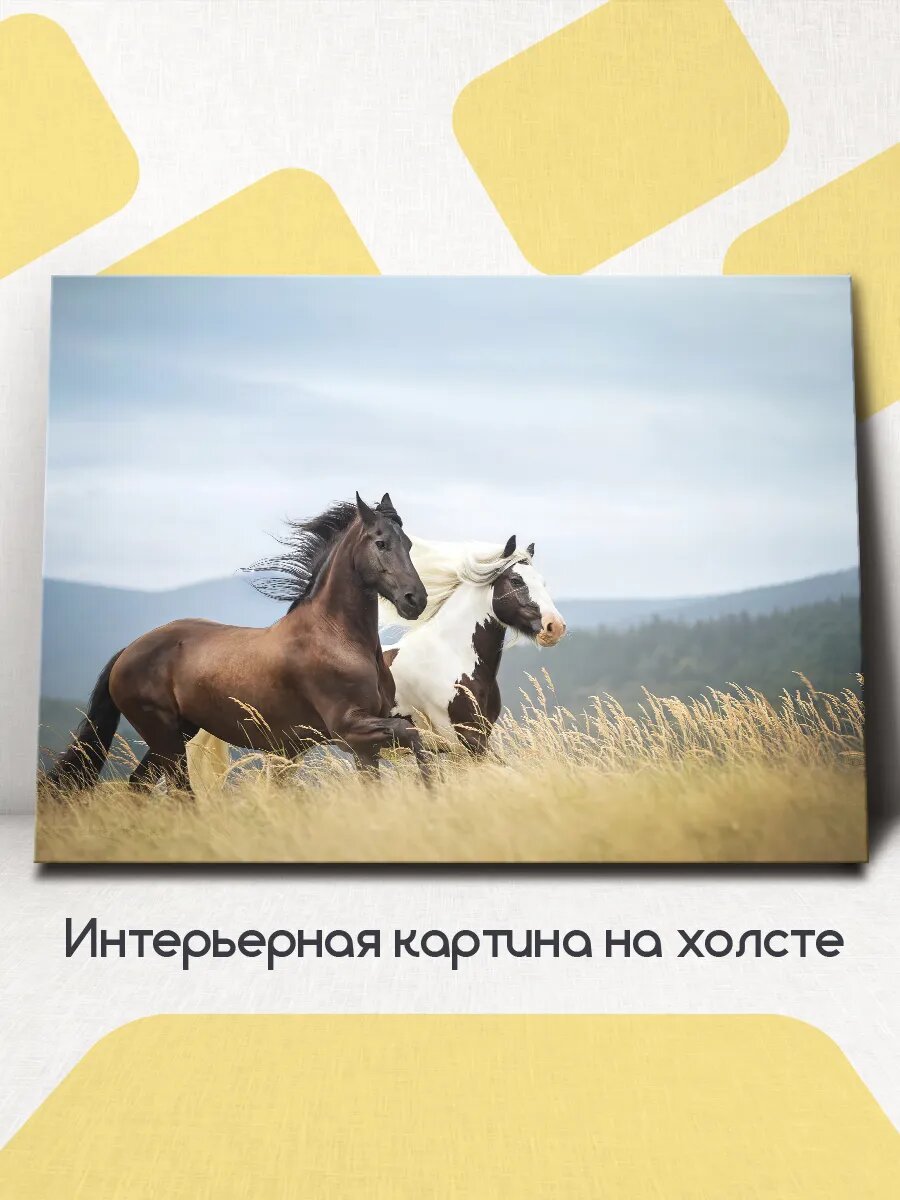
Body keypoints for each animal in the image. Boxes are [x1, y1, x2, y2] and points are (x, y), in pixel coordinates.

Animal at [47, 493, 432, 792]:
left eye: (409, 544)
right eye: (381, 543)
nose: (416, 600)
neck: (337, 637)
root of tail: (128, 651)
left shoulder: (367, 745)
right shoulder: (350, 730)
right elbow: (414, 736)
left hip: (176, 734)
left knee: (138, 786)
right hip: (165, 737)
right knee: (178, 791)